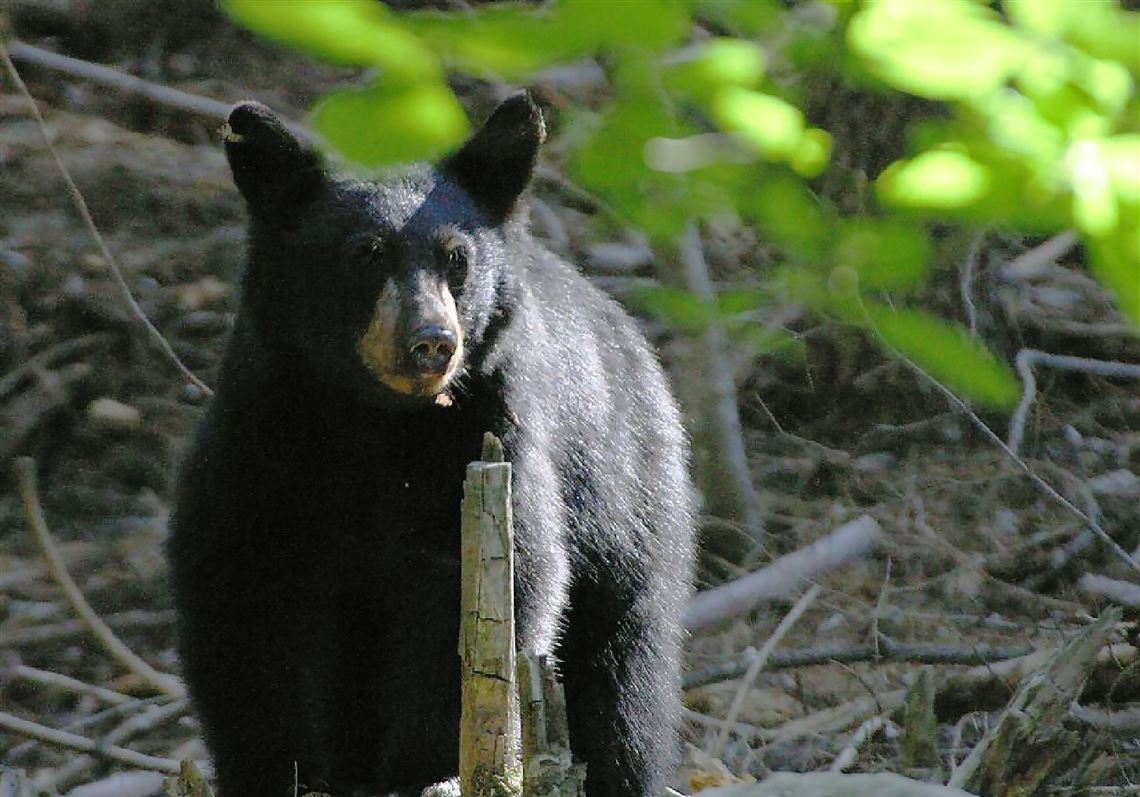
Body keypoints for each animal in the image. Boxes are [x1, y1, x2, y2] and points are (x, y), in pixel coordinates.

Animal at [167, 94, 696, 797]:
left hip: (627, 509)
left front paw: (427, 769)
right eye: (365, 254)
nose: (431, 343)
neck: (375, 423)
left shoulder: (490, 436)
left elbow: (481, 596)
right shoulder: (262, 437)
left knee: (624, 682)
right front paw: (277, 769)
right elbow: (239, 598)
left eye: (456, 260)